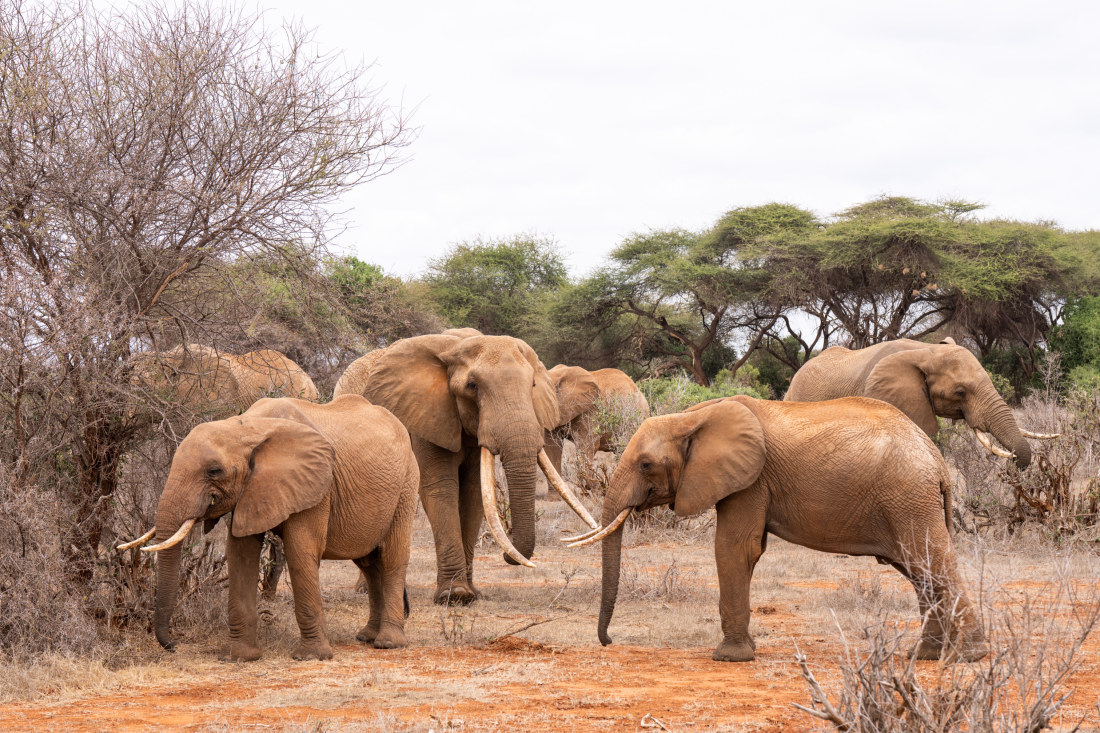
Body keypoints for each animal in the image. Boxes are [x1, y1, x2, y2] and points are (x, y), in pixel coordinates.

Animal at [117, 394, 419, 661]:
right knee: (369, 563)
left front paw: (310, 657)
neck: (247, 427)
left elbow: (300, 553)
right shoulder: (250, 490)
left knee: (392, 558)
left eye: (214, 471)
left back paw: (388, 643)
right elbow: (240, 555)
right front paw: (238, 658)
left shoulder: (316, 486)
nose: (174, 645)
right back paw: (367, 636)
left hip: (407, 484)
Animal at [333, 331, 597, 605]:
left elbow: (473, 493)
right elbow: (441, 488)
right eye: (472, 386)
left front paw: (472, 593)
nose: (508, 556)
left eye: (533, 385)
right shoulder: (427, 416)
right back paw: (366, 591)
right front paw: (455, 596)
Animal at [572, 395, 989, 664]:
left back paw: (967, 657)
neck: (691, 417)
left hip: (907, 496)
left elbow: (734, 548)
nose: (609, 641)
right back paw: (926, 656)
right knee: (920, 572)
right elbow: (749, 551)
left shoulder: (750, 481)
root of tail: (937, 460)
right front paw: (746, 651)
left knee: (929, 563)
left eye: (645, 465)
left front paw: (730, 658)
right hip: (908, 501)